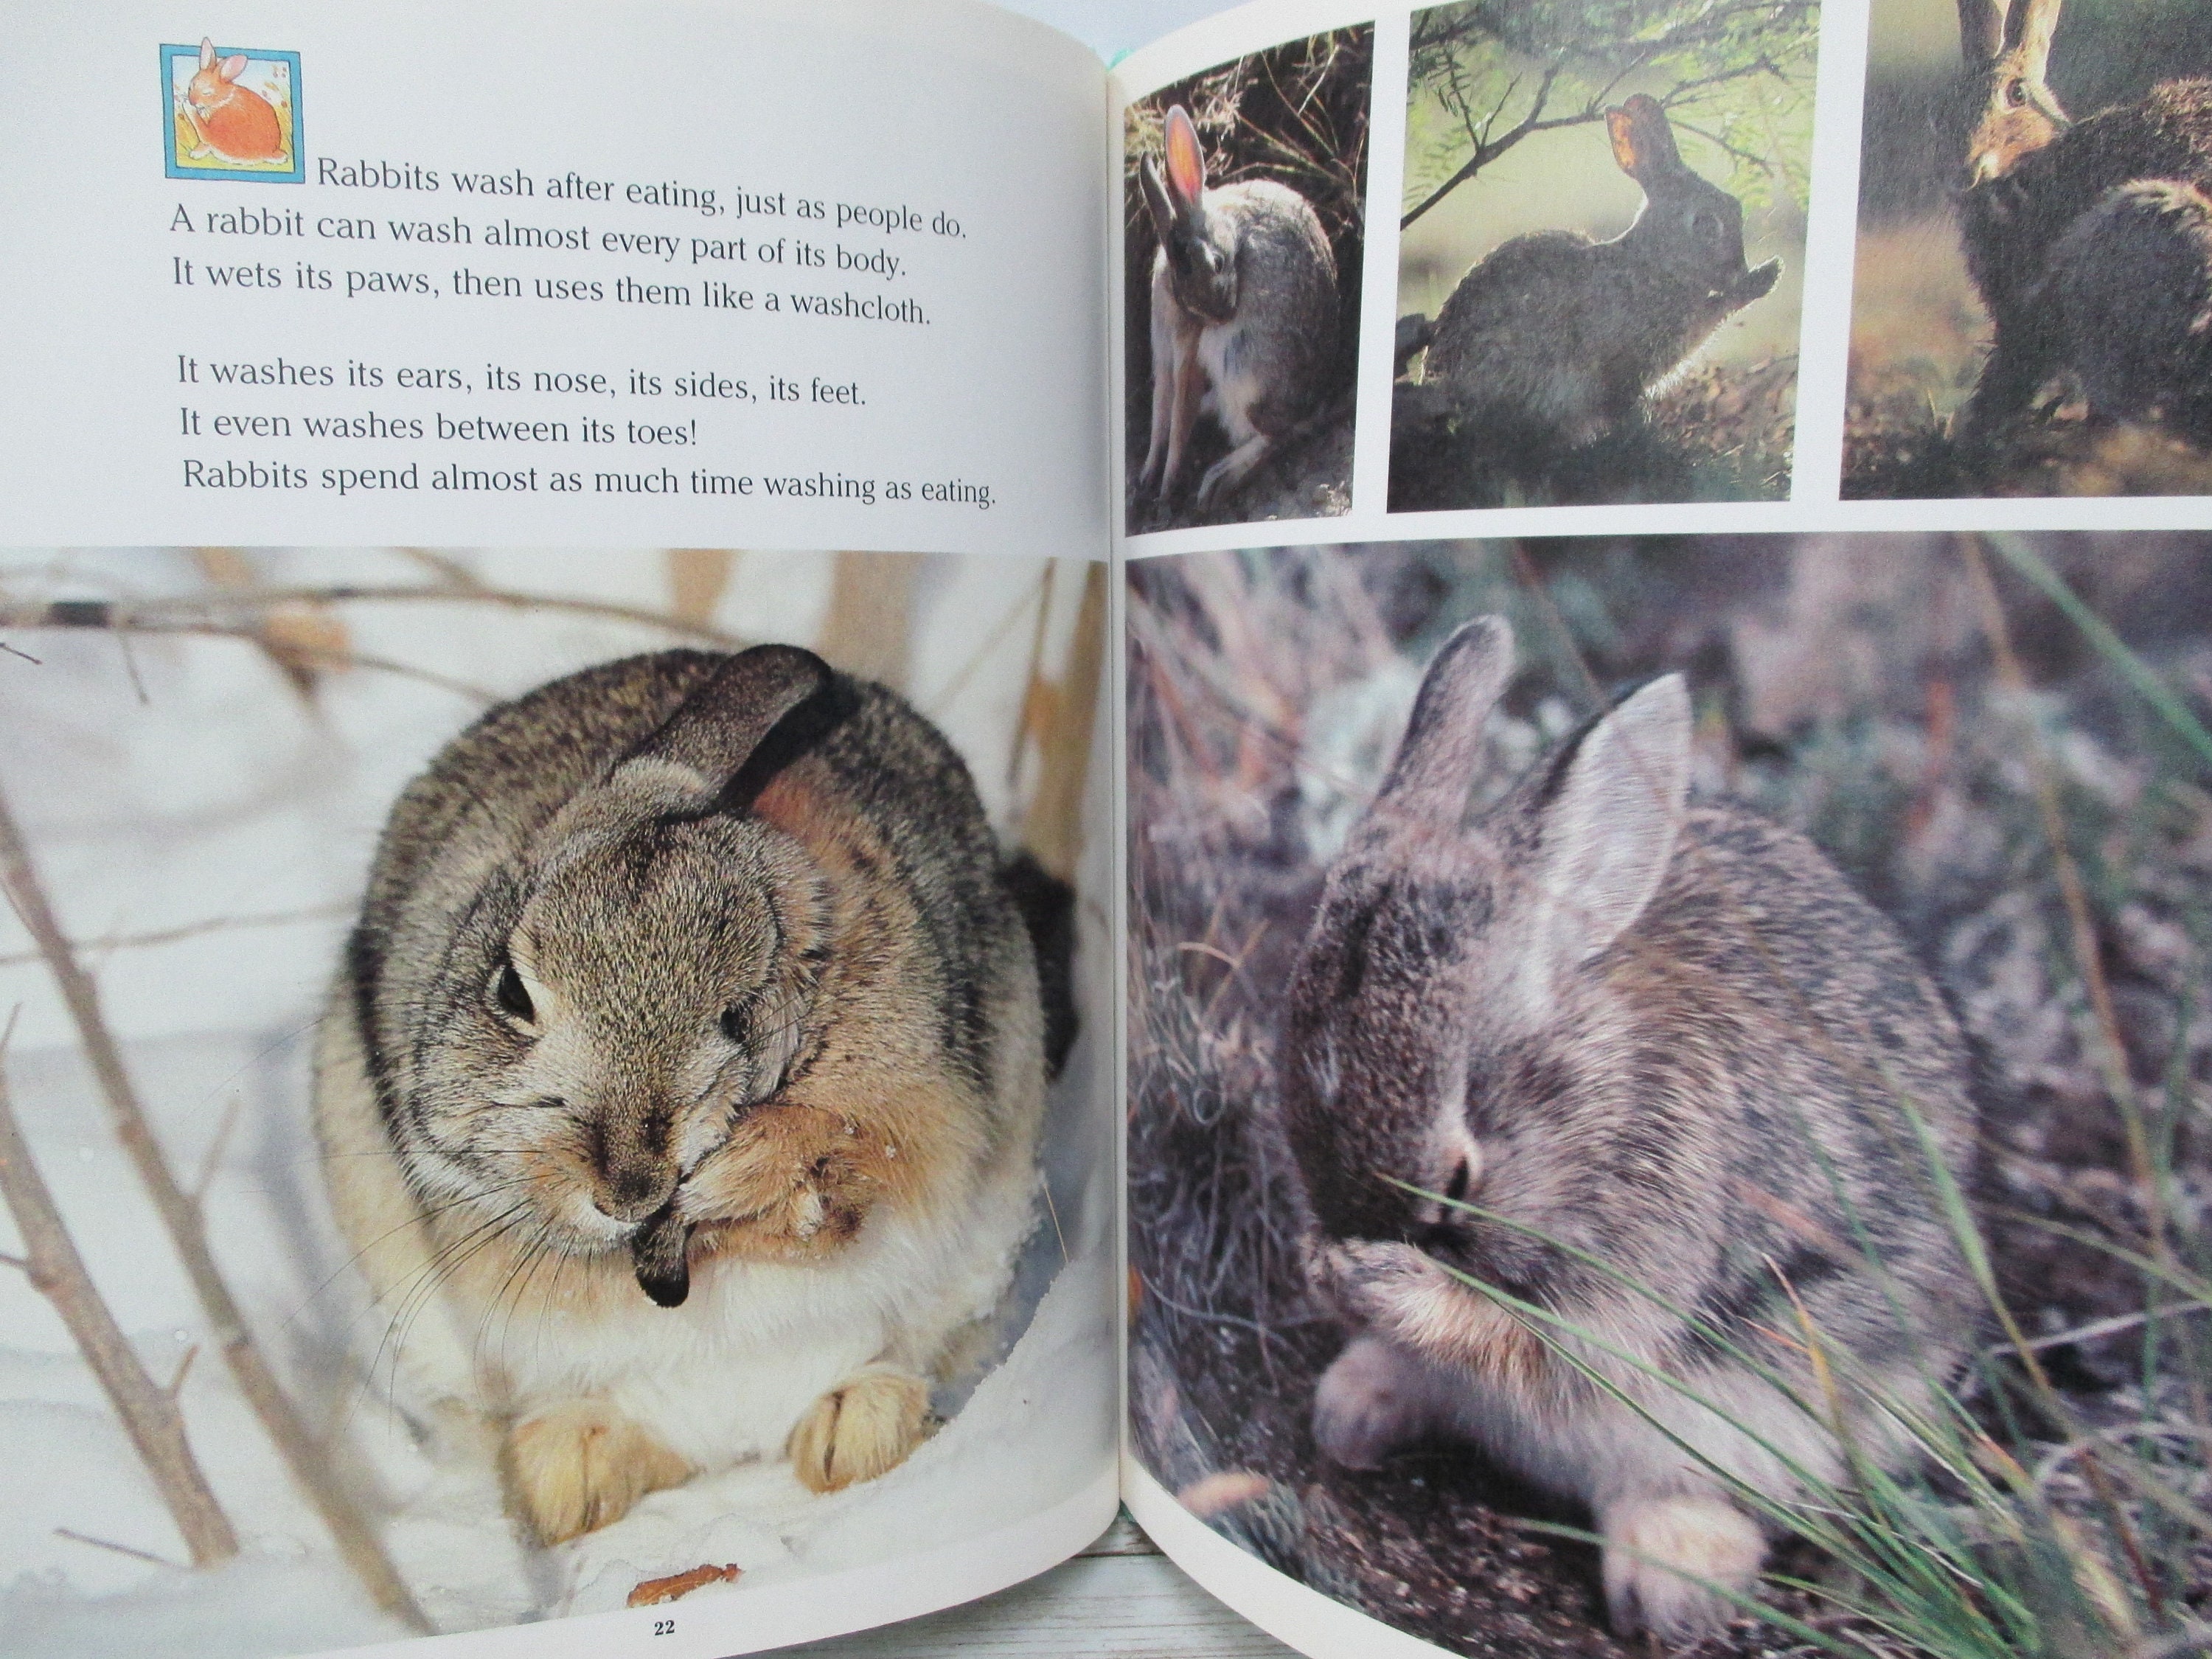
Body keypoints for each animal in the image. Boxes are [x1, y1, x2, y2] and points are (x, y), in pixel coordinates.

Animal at [181, 38, 286, 165]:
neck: (223, 99)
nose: (192, 102)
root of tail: (270, 153)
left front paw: (186, 104)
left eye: (207, 93)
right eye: (190, 87)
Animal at [314, 644, 1061, 1544]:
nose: (628, 1192)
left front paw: (740, 1180)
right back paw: (569, 1478)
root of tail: (733, 1436)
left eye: (738, 1017)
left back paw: (854, 1429)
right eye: (510, 989)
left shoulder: (909, 1105)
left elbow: (849, 1162)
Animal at [1136, 103, 1338, 512]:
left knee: (1277, 436)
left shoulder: (1188, 344)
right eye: (1181, 282)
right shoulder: (1164, 343)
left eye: (1217, 263)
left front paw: (1166, 487)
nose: (1222, 313)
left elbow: (1178, 416)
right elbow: (1161, 411)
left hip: (1243, 371)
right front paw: (1148, 476)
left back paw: (1218, 479)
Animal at [1279, 618, 1981, 1646]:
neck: (1583, 1096)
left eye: (1459, 1180)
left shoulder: (1645, 1247)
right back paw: (1356, 1411)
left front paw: (1379, 1281)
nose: (1340, 1256)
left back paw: (1674, 1587)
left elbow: (1532, 1342)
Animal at [1952, 0, 2212, 443]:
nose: (1965, 169)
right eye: (1943, 109)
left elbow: (2011, 375)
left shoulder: (2028, 311)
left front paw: (1972, 437)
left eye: (2016, 94)